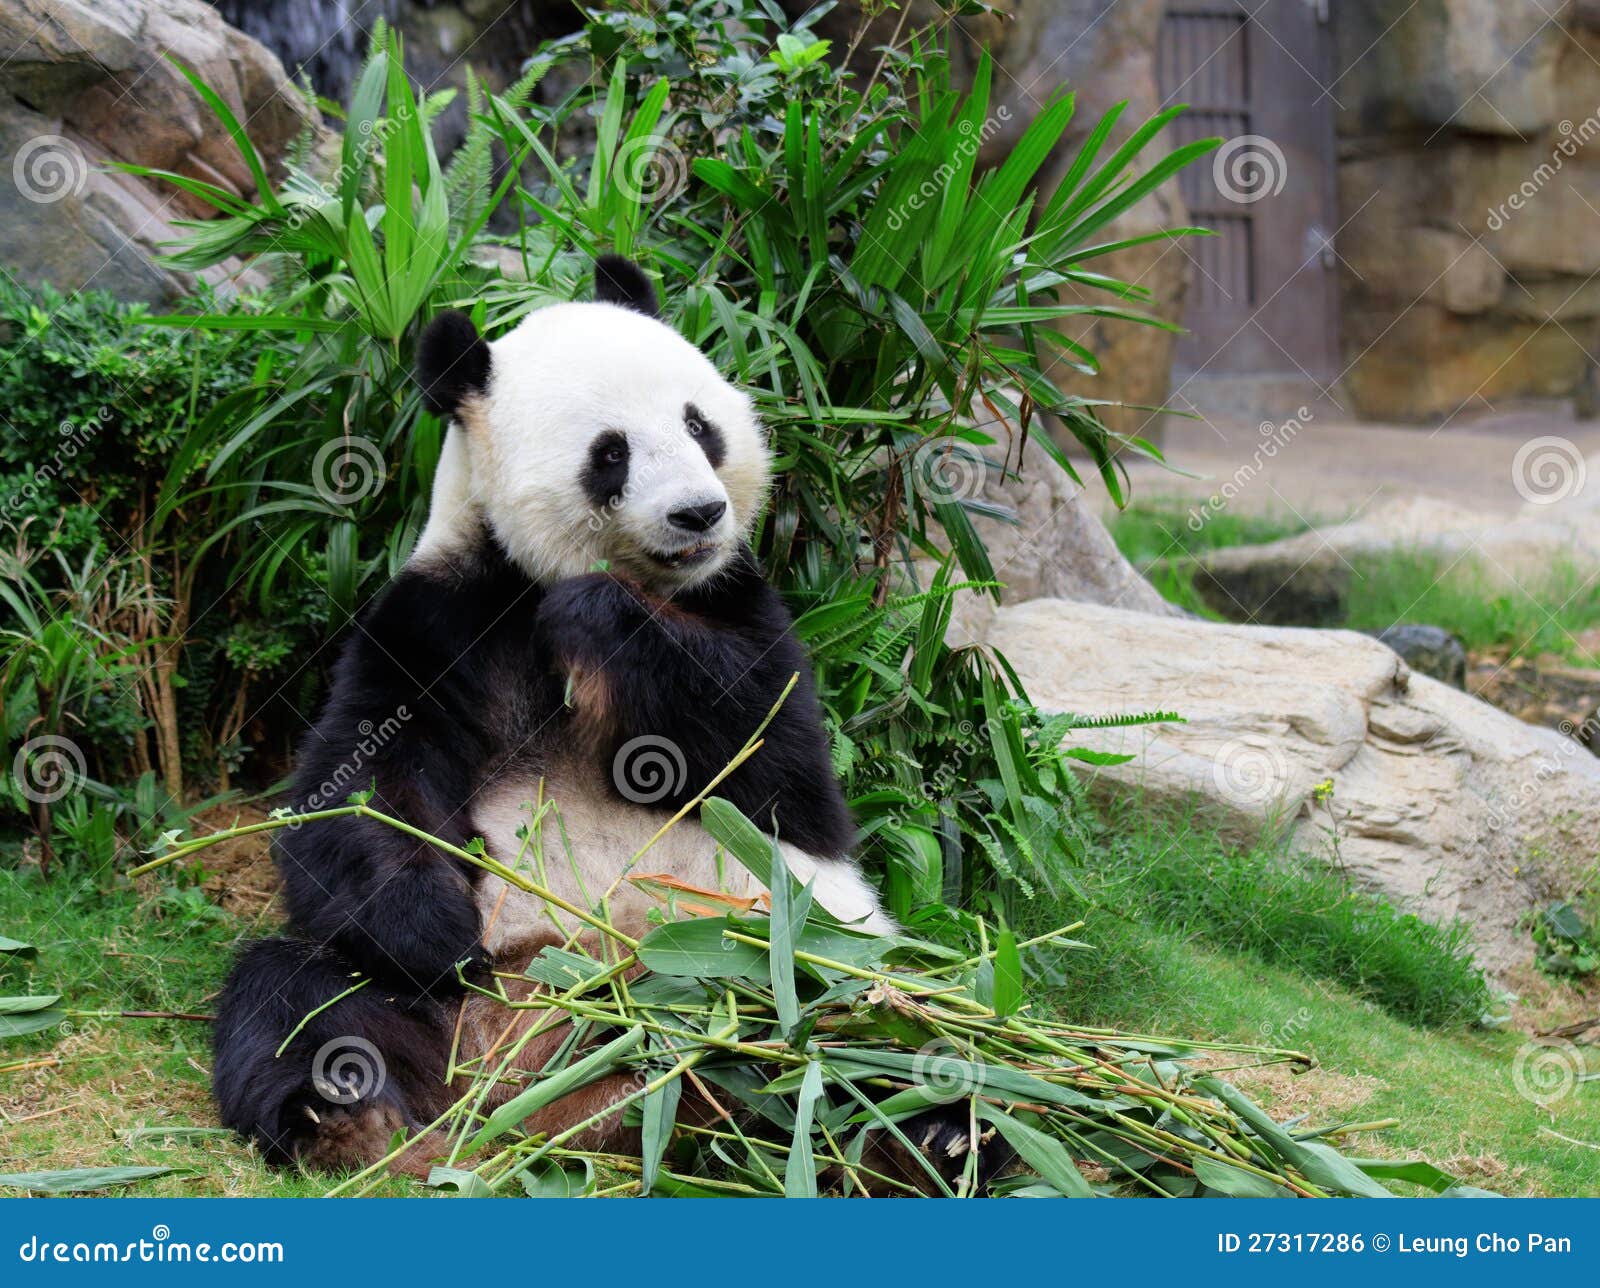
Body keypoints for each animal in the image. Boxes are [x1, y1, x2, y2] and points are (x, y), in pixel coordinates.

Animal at [210, 257, 898, 1175]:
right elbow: (357, 792)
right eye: (611, 453)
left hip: (785, 960)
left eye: (699, 424)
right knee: (297, 994)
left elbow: (780, 768)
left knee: (851, 1040)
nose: (700, 513)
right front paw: (435, 929)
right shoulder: (435, 621)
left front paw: (593, 616)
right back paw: (346, 1114)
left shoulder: (744, 604)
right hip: (449, 1010)